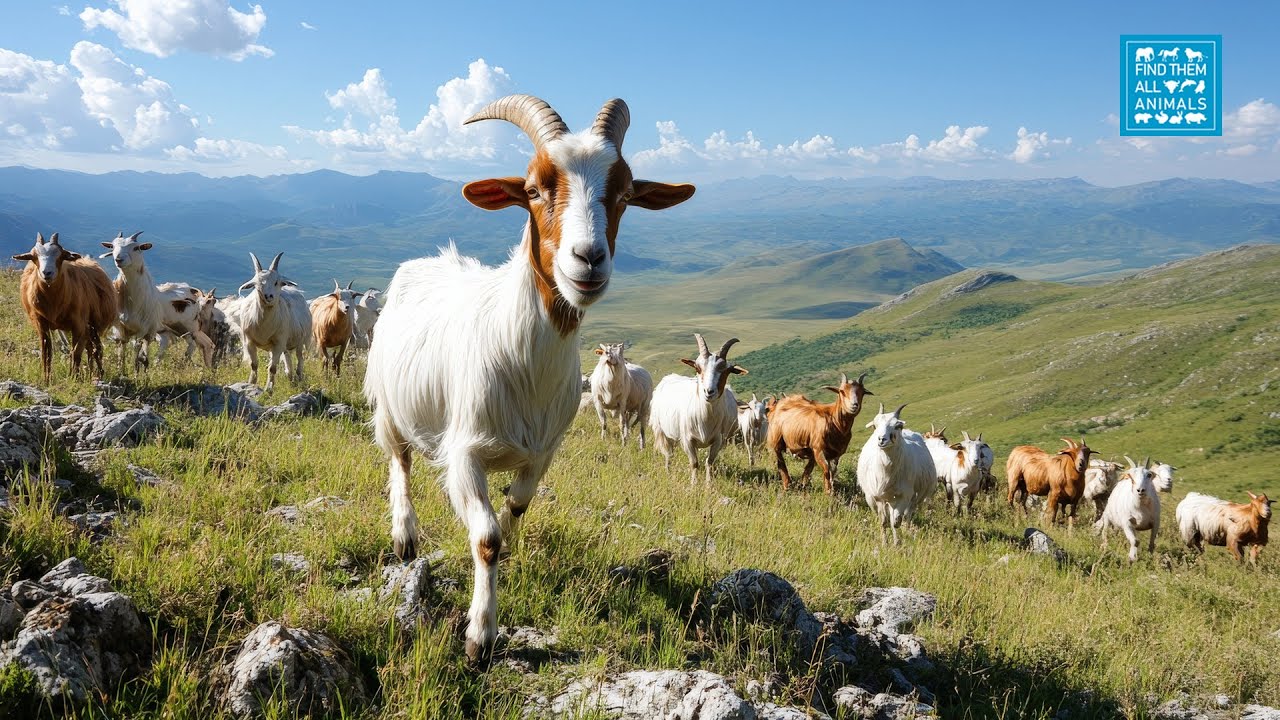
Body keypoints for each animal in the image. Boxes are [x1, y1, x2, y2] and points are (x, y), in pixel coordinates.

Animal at [12, 232, 117, 381]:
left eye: (60, 256)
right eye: (33, 256)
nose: (47, 273)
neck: (53, 304)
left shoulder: (78, 324)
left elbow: (76, 352)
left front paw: (73, 378)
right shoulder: (41, 324)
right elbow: (46, 353)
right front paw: (46, 379)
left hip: (93, 325)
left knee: (97, 349)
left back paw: (98, 374)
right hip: (87, 328)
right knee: (90, 348)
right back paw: (91, 373)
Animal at [223, 252, 312, 391]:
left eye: (277, 282)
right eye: (257, 284)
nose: (268, 296)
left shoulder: (278, 343)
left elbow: (272, 368)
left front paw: (269, 389)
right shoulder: (249, 342)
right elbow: (254, 364)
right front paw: (251, 383)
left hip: (301, 340)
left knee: (300, 359)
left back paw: (299, 378)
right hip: (285, 344)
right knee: (288, 358)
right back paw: (290, 377)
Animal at [363, 94, 694, 659]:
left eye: (625, 193)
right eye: (535, 189)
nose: (588, 259)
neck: (523, 359)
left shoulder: (543, 450)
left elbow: (516, 506)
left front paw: (512, 544)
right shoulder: (465, 451)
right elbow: (485, 538)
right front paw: (480, 635)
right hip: (390, 403)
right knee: (399, 460)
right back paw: (404, 534)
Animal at [650, 335, 746, 485]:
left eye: (726, 371)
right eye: (698, 368)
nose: (709, 392)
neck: (706, 416)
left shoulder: (718, 440)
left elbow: (709, 462)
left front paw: (708, 484)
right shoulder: (688, 440)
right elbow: (694, 463)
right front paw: (693, 484)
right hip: (662, 431)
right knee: (668, 453)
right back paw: (668, 472)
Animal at [857, 403, 935, 544]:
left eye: (898, 426)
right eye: (875, 426)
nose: (882, 439)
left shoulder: (904, 496)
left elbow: (896, 522)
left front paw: (897, 542)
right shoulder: (878, 497)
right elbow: (883, 522)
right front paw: (884, 543)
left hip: (913, 498)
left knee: (906, 516)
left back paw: (906, 531)